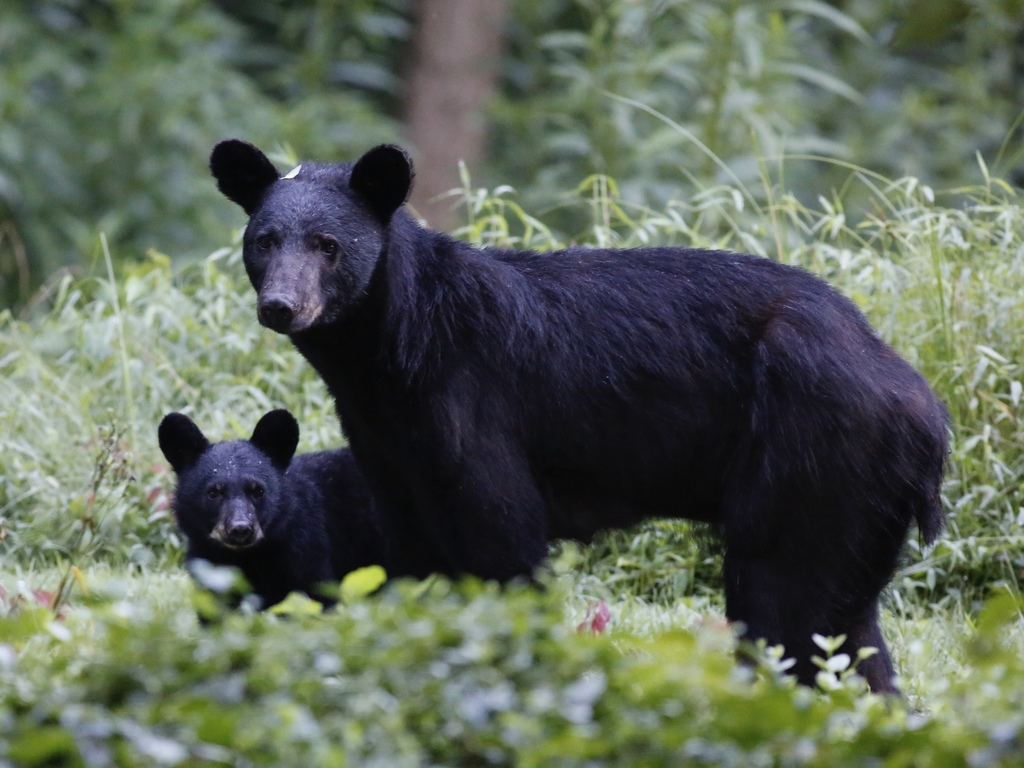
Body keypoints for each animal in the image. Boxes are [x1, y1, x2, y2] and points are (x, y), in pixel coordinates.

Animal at [158, 409, 386, 610]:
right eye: (214, 492)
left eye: (258, 490)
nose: (240, 529)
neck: (247, 557)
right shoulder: (208, 567)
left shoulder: (306, 551)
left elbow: (316, 600)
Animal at [209, 139, 949, 692]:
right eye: (265, 240)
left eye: (327, 244)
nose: (281, 306)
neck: (390, 362)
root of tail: (926, 411)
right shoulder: (390, 453)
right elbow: (415, 563)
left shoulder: (475, 414)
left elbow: (505, 547)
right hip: (854, 503)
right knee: (848, 637)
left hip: (815, 460)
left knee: (784, 609)